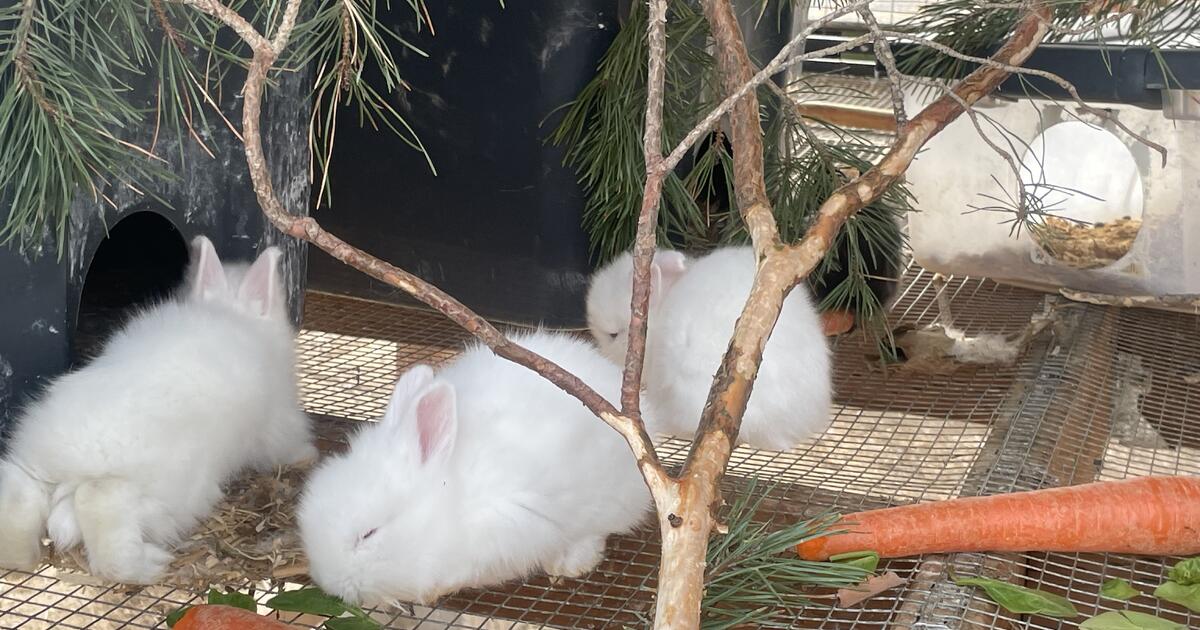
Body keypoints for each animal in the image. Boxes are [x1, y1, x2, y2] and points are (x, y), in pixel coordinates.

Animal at [0, 235, 317, 584]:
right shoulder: (277, 421)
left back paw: (22, 556)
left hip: (33, 468)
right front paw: (308, 455)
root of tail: (72, 463)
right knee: (98, 499)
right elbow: (285, 446)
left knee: (19, 497)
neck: (230, 310)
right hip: (168, 494)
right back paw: (147, 565)